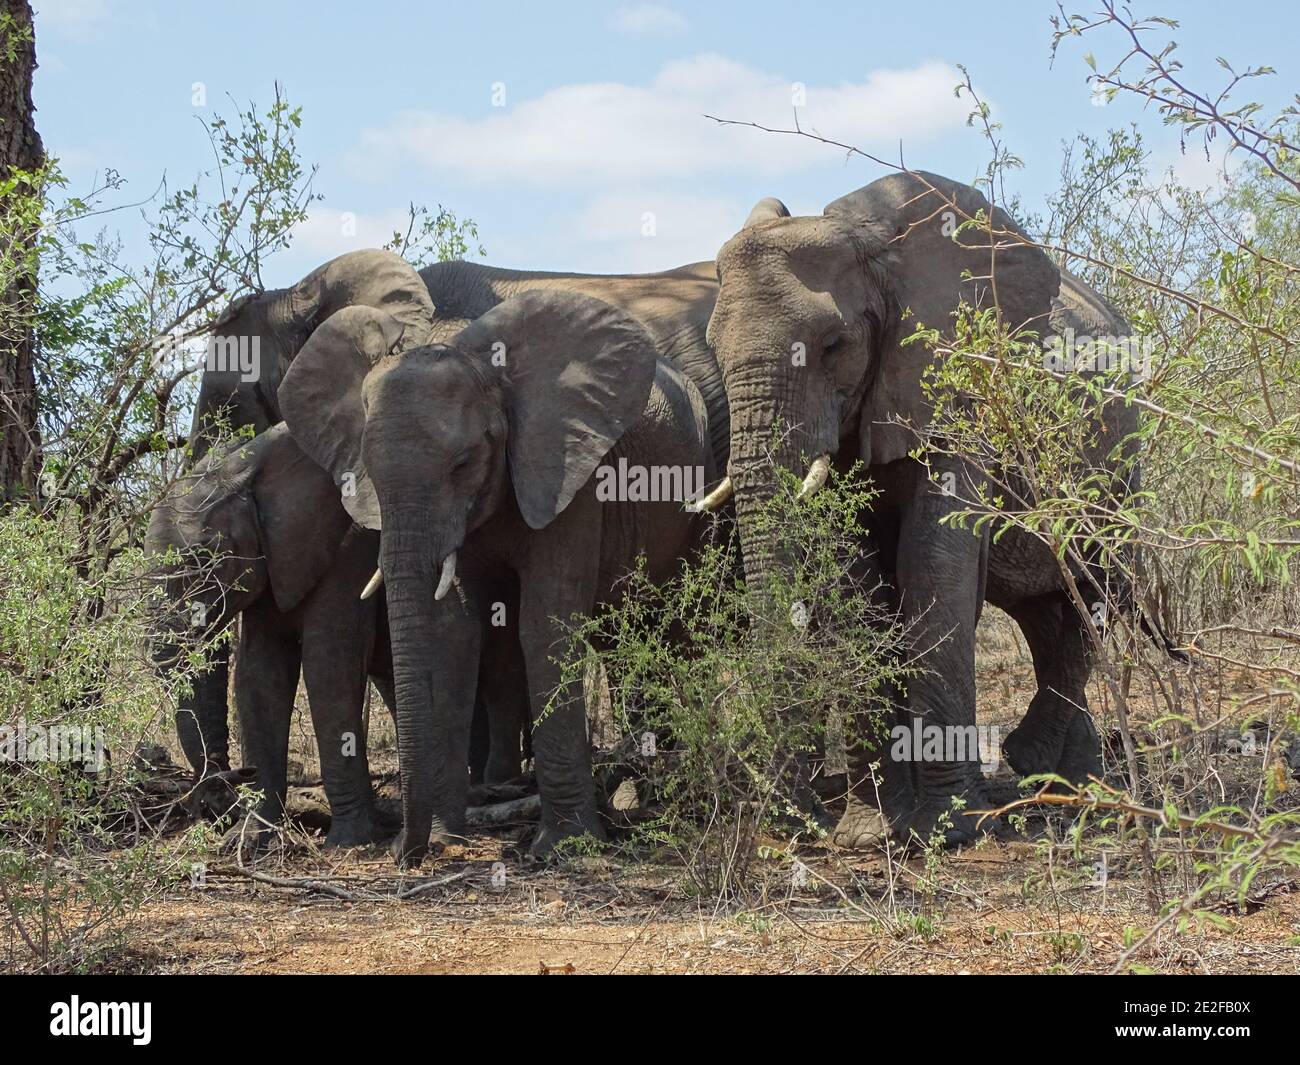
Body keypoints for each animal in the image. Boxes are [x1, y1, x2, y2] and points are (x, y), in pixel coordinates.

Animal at [146, 423, 397, 846]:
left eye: (206, 558)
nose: (218, 801)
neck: (243, 468)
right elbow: (259, 672)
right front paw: (249, 839)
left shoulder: (349, 548)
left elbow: (330, 665)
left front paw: (349, 842)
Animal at [278, 287, 715, 866]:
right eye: (366, 468)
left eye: (464, 463)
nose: (402, 853)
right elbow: (455, 635)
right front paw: (447, 838)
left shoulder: (566, 471)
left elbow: (545, 624)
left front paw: (564, 846)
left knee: (675, 628)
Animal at [697, 171, 1140, 847]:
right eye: (712, 349)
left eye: (834, 345)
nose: (797, 825)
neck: (877, 250)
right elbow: (857, 579)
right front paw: (869, 835)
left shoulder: (958, 388)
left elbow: (931, 561)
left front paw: (947, 832)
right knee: (1042, 611)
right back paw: (1057, 779)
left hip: (1118, 464)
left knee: (1090, 590)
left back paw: (1056, 777)